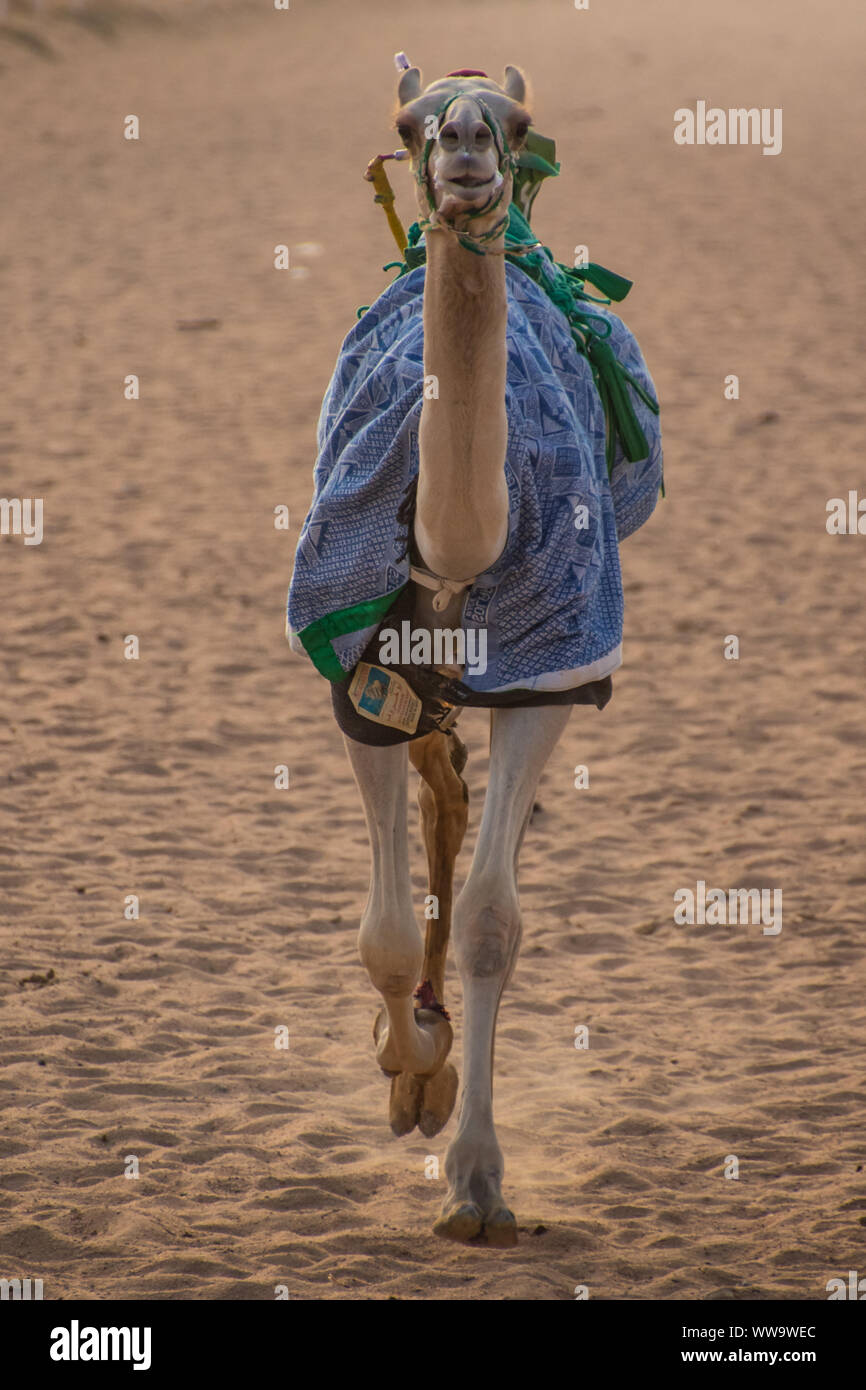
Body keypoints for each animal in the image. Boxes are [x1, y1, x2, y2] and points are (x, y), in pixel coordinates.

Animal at [287, 61, 662, 1246]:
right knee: (433, 790)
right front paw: (409, 1066)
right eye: (409, 123)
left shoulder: (550, 674)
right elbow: (382, 934)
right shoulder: (356, 676)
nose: (464, 148)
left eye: (518, 119)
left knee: (454, 799)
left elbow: (496, 923)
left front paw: (476, 1181)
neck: (456, 547)